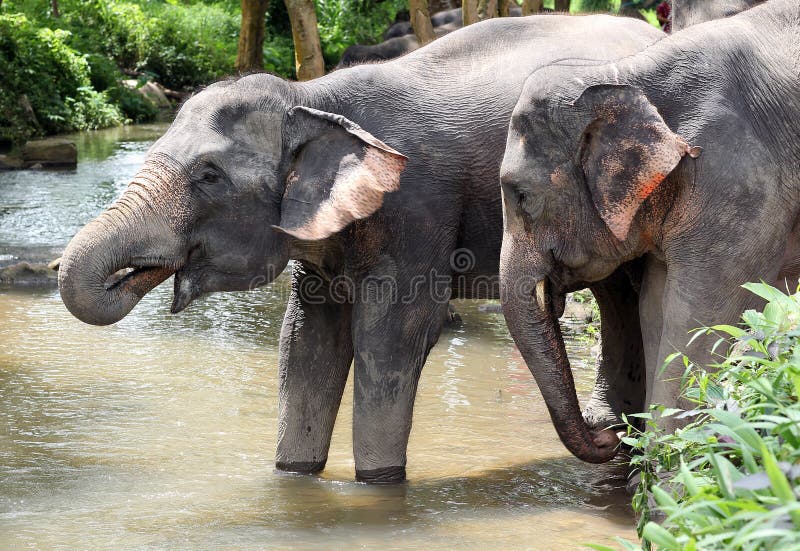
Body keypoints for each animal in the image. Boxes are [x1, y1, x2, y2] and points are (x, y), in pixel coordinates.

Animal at [58, 15, 663, 482]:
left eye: (208, 176)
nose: (134, 273)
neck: (310, 98)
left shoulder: (415, 208)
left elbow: (389, 339)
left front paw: (378, 485)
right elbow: (305, 344)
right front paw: (294, 478)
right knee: (616, 295)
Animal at [498, 0, 799, 463]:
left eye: (522, 196)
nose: (606, 430)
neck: (626, 76)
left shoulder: (742, 188)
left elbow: (701, 318)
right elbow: (654, 306)